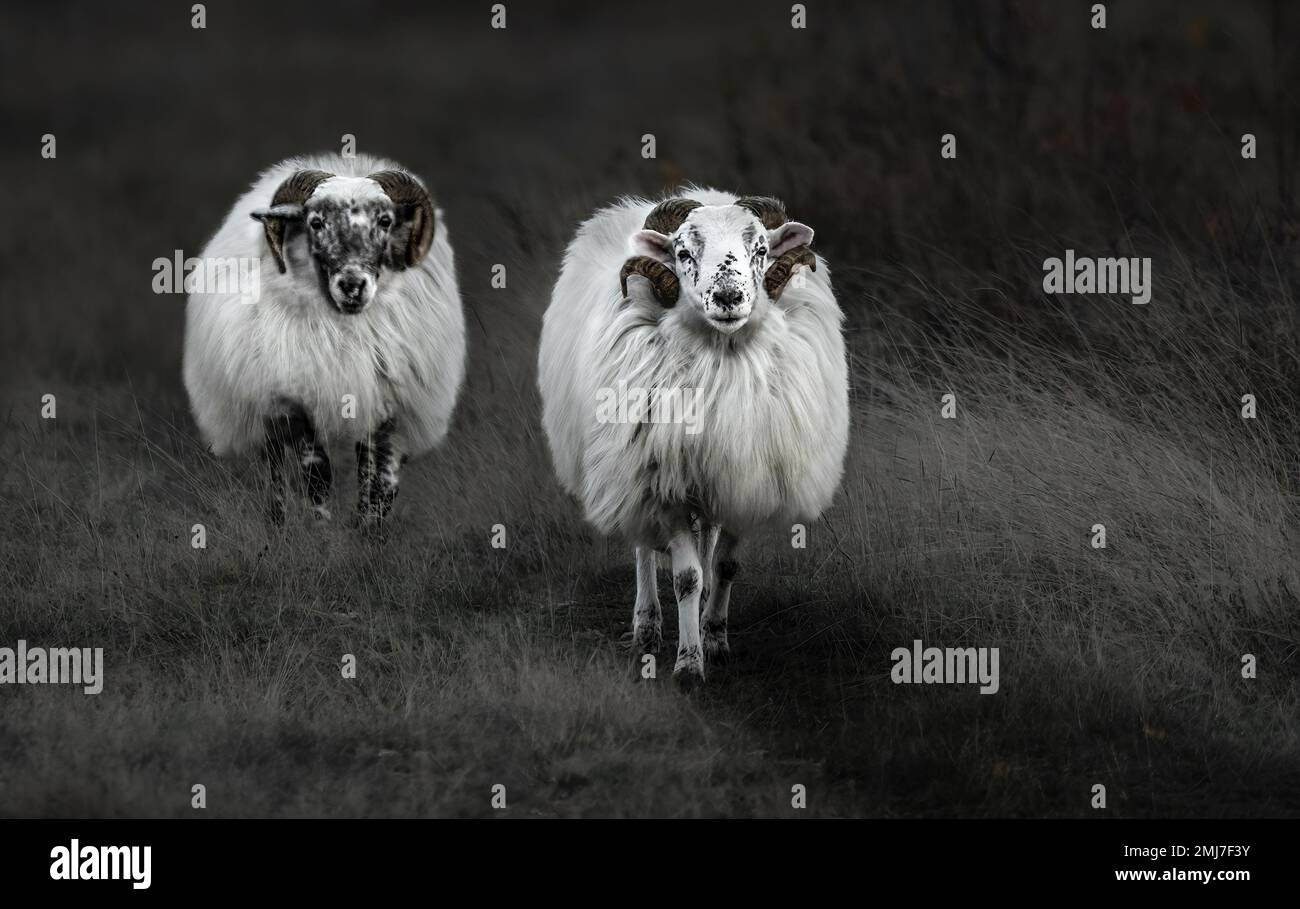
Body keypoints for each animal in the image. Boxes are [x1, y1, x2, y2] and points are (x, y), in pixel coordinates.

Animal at [183, 153, 466, 528]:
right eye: (316, 222)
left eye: (386, 220)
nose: (352, 285)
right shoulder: (297, 404)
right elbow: (317, 473)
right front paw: (320, 527)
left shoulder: (387, 407)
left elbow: (379, 480)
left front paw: (370, 530)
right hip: (265, 411)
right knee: (276, 471)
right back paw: (279, 523)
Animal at [538, 189, 849, 688]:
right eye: (683, 253)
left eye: (761, 249)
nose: (728, 296)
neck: (724, 357)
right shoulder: (664, 484)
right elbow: (685, 576)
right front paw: (688, 663)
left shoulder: (746, 477)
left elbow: (724, 565)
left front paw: (715, 639)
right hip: (629, 468)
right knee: (643, 548)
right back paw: (646, 626)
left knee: (708, 543)